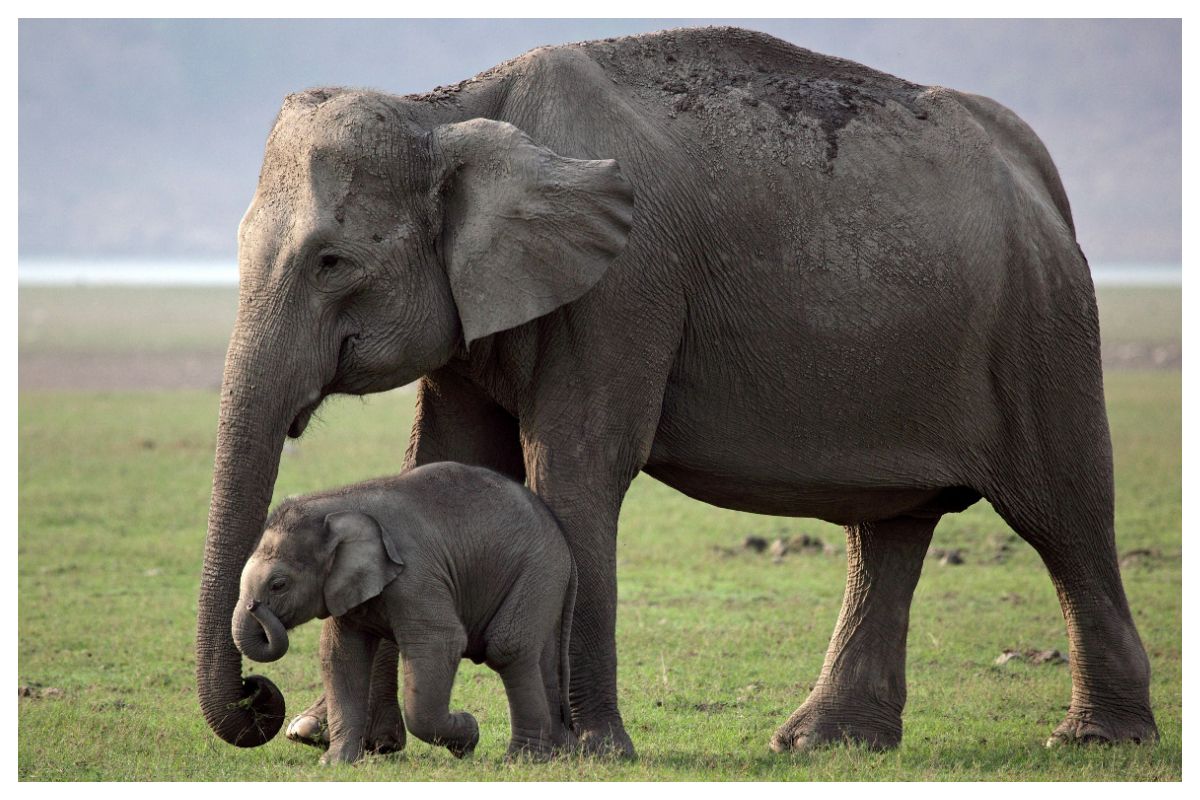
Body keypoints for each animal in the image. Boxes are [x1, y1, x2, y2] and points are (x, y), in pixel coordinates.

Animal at [232, 462, 577, 764]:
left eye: (278, 585)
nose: (254, 606)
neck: (339, 504)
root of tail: (565, 545)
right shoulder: (346, 586)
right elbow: (342, 654)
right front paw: (335, 764)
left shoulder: (416, 575)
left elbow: (441, 641)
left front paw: (468, 736)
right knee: (538, 658)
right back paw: (551, 757)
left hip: (538, 571)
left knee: (508, 649)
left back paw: (522, 760)